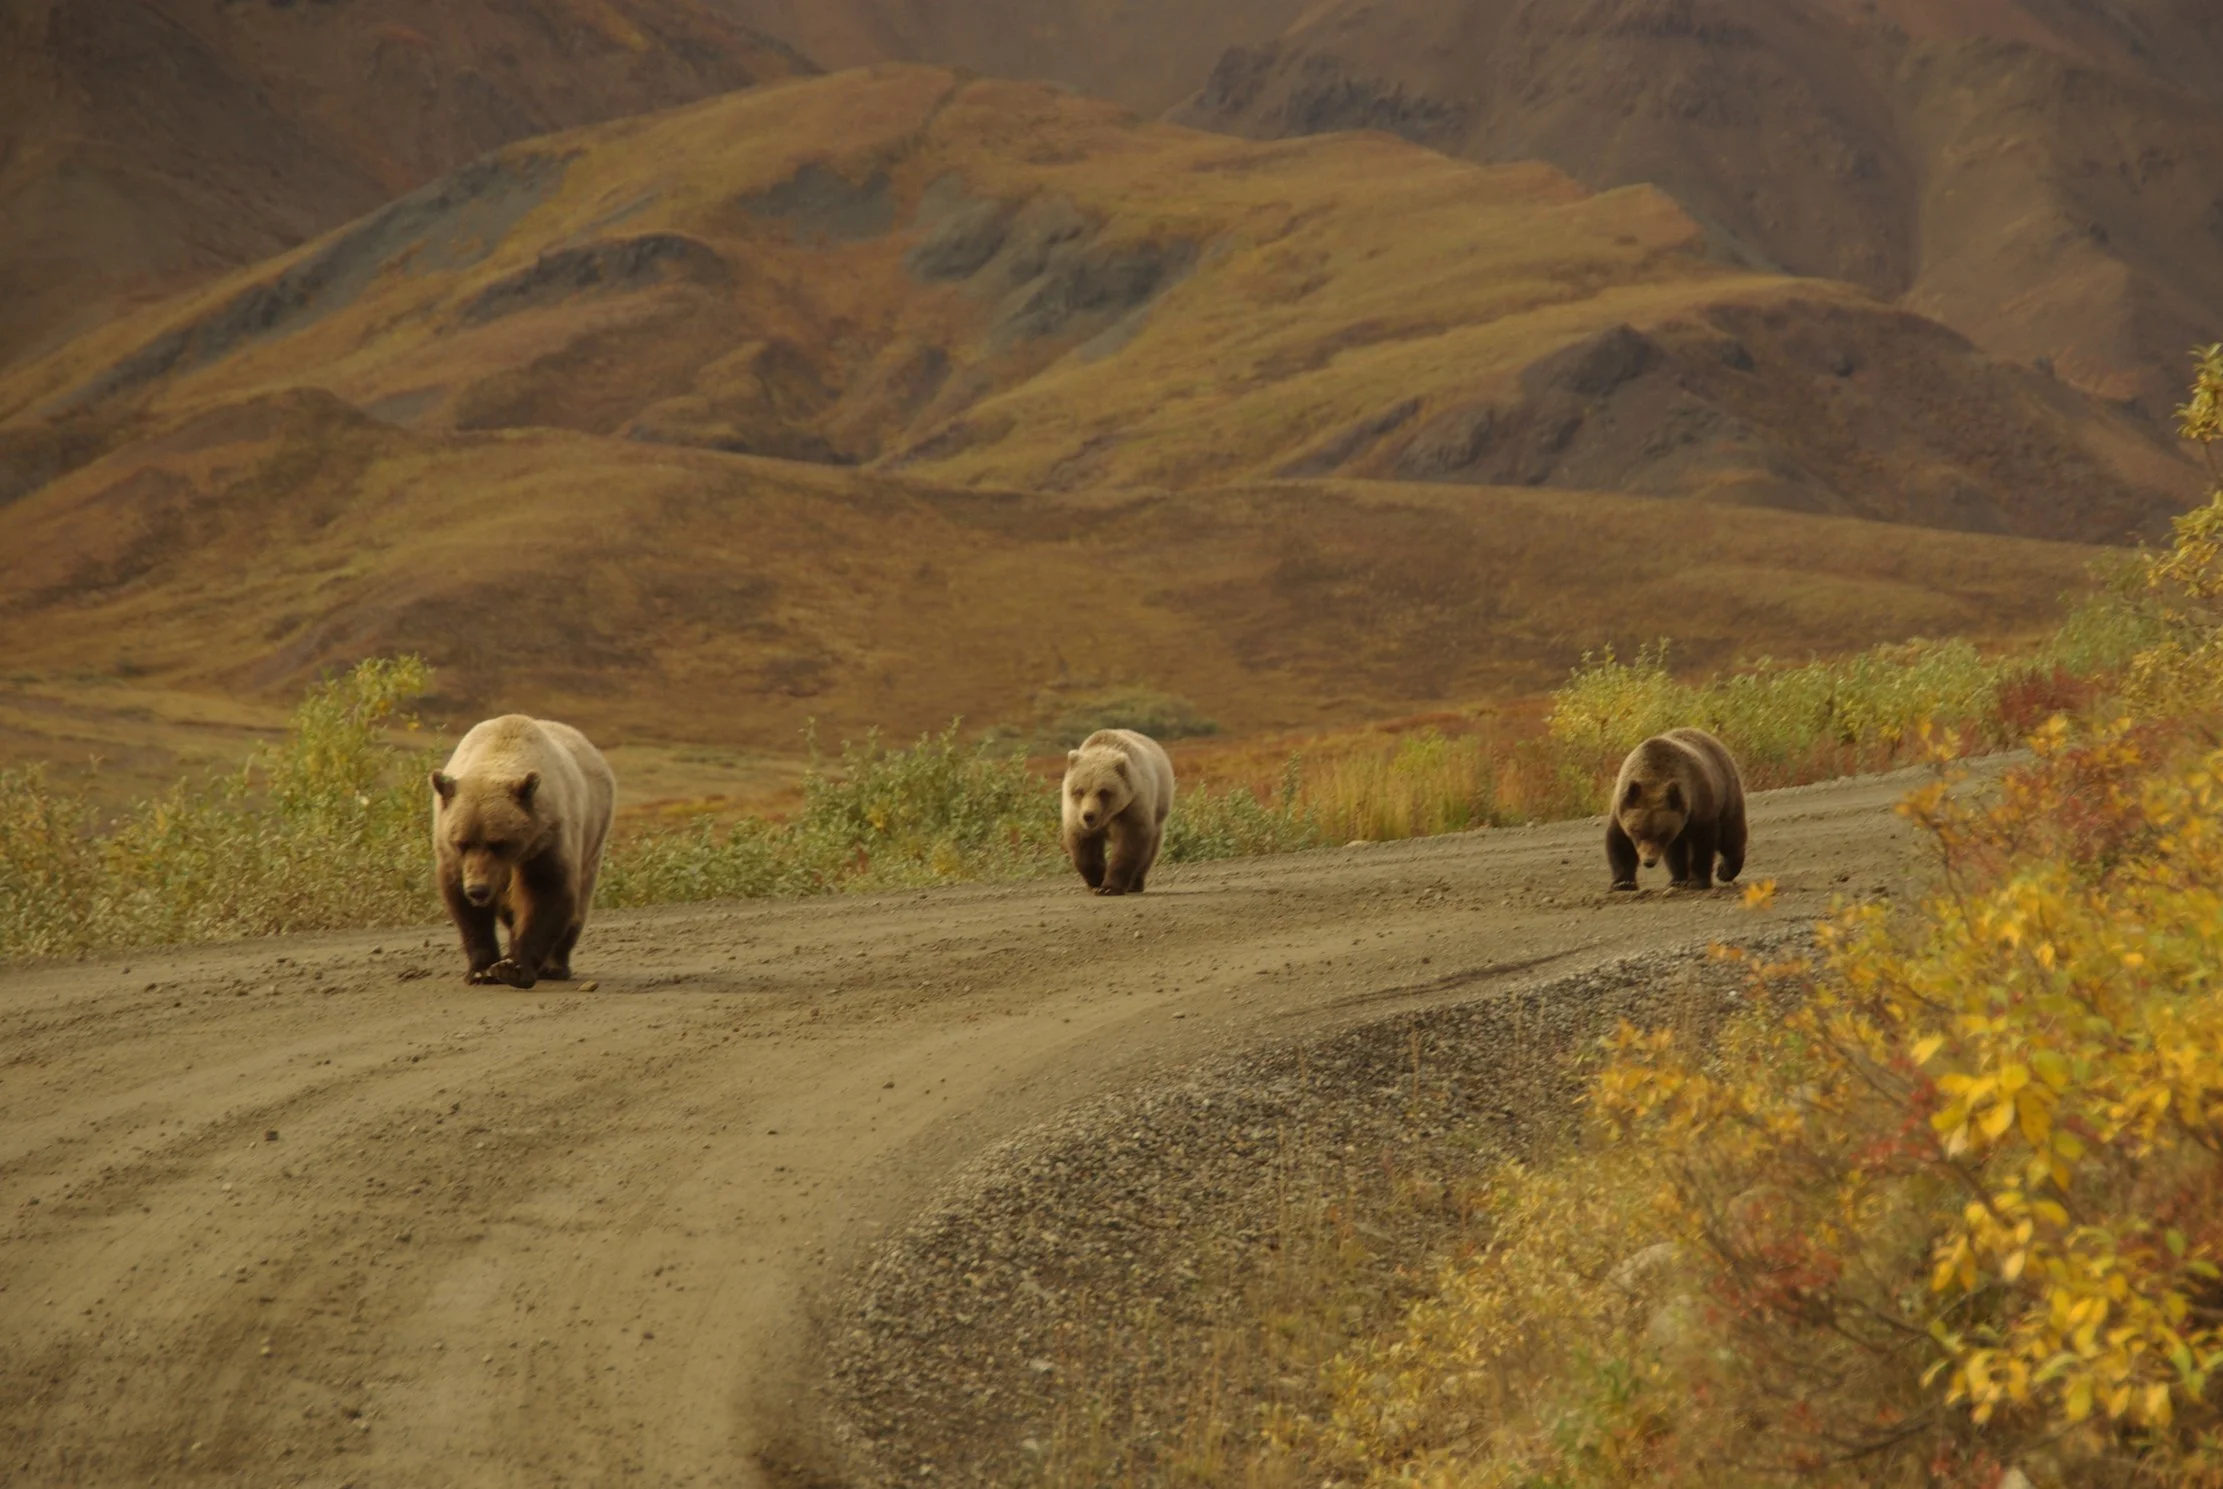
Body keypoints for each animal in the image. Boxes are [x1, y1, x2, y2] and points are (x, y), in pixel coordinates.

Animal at [430, 715, 617, 988]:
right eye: (462, 842)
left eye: (498, 842)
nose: (477, 890)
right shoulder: (451, 852)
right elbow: (463, 904)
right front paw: (481, 970)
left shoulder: (547, 841)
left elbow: (545, 892)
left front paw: (514, 967)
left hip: (593, 835)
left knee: (579, 904)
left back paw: (555, 965)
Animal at [1061, 728, 1176, 896]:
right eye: (1079, 790)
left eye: (1103, 791)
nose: (1089, 815)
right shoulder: (1075, 814)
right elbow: (1084, 846)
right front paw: (1097, 882)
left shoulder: (1132, 807)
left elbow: (1129, 844)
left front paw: (1109, 887)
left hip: (1158, 811)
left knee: (1151, 850)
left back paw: (1136, 883)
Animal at [1606, 727, 1747, 892]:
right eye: (1637, 832)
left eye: (1661, 834)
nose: (1649, 861)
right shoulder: (1622, 808)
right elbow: (1619, 842)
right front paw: (1623, 882)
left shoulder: (1699, 805)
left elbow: (1702, 844)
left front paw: (1698, 881)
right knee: (1676, 850)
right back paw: (1678, 879)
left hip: (1727, 790)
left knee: (1730, 833)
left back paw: (1726, 871)